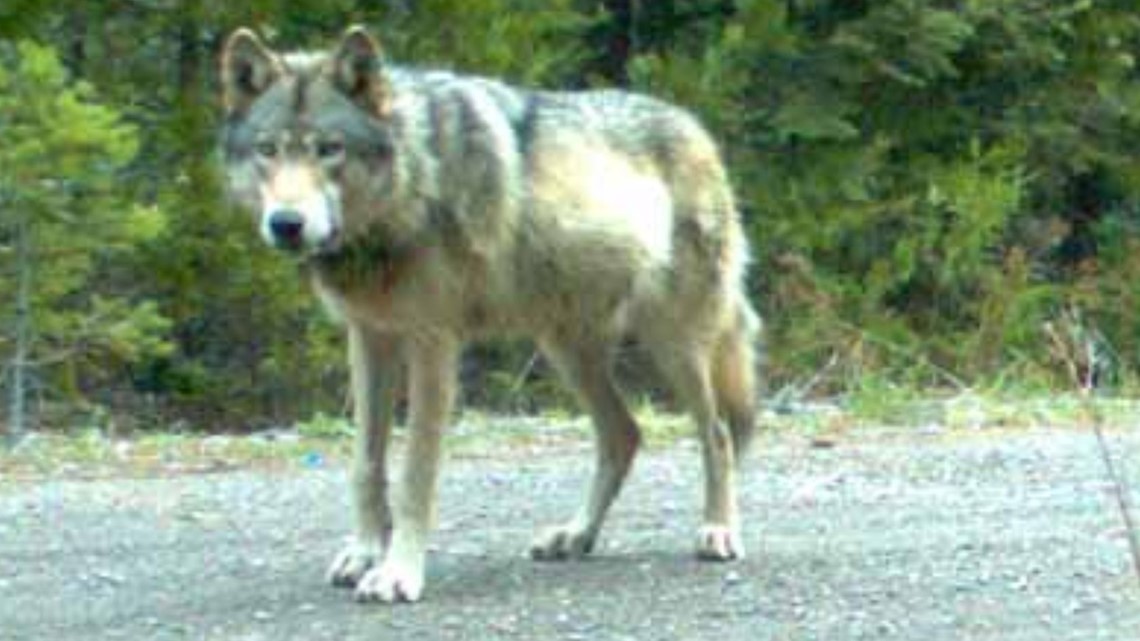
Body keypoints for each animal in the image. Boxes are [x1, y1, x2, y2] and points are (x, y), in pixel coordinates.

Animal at [219, 26, 762, 603]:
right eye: (268, 150)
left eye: (329, 150)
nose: (286, 223)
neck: (415, 180)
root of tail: (697, 127)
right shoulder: (369, 338)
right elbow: (366, 465)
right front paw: (365, 553)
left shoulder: (433, 344)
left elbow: (415, 475)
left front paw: (397, 573)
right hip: (567, 351)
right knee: (625, 435)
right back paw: (575, 536)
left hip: (674, 345)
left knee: (718, 433)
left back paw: (718, 530)